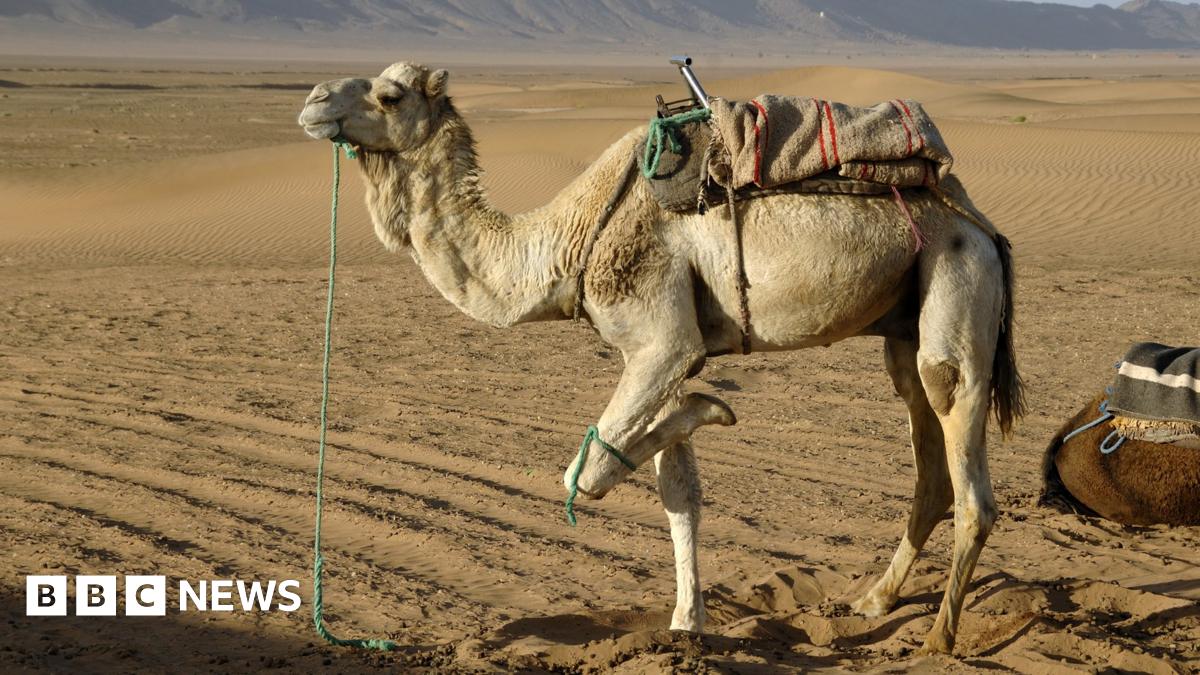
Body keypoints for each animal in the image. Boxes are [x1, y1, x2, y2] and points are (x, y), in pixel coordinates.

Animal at [298, 62, 1025, 655]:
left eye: (389, 94)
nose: (311, 100)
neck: (567, 241)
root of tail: (985, 225)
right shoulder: (665, 352)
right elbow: (678, 493)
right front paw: (685, 621)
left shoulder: (661, 340)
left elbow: (584, 472)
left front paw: (715, 408)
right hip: (906, 318)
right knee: (928, 457)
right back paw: (874, 599)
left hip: (959, 277)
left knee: (967, 464)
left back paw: (937, 638)